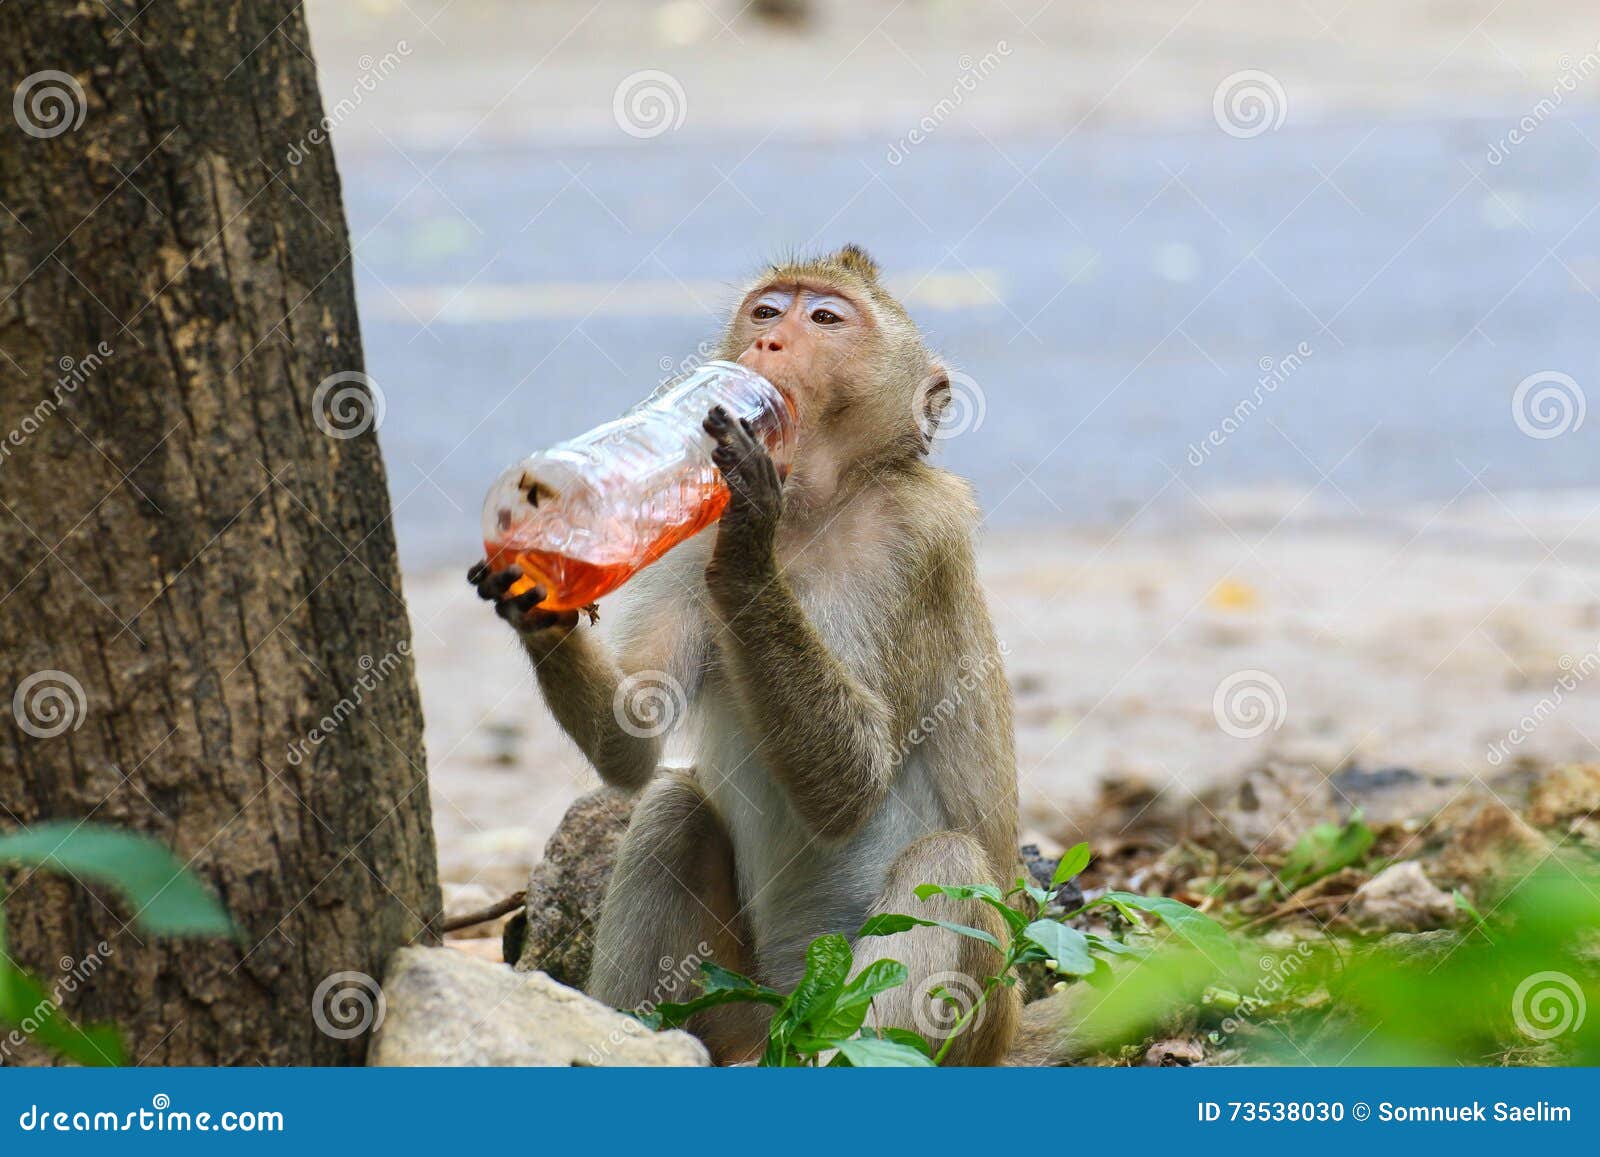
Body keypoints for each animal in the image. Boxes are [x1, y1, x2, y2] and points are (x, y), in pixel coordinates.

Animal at [470, 244, 1020, 1065]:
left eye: (823, 317)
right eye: (766, 310)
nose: (768, 342)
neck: (815, 512)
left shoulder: (920, 543)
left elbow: (855, 784)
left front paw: (747, 538)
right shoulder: (682, 547)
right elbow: (635, 734)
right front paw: (538, 582)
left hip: (929, 1019)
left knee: (943, 865)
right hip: (731, 1000)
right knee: (670, 809)